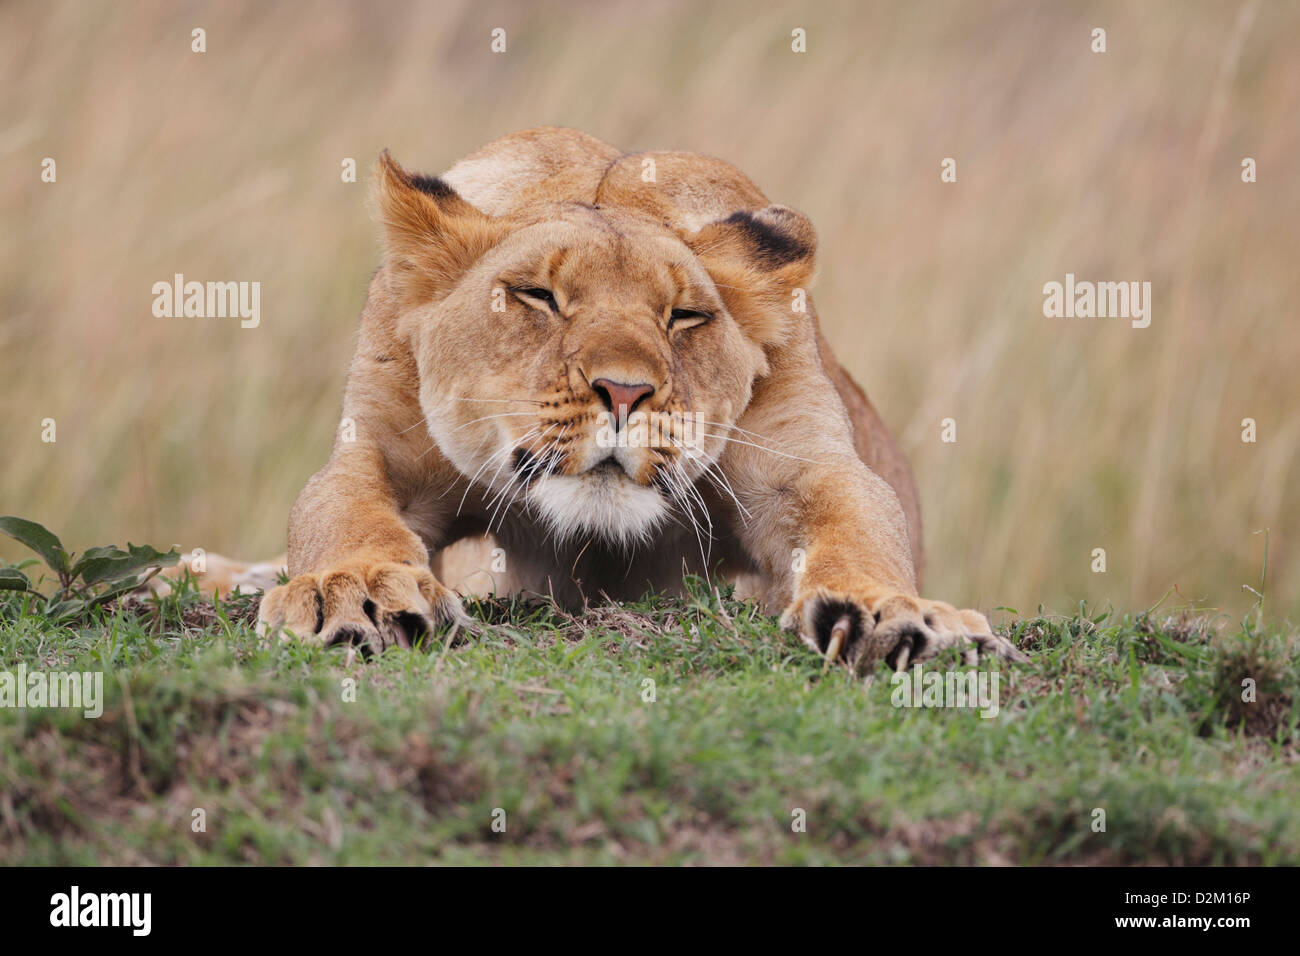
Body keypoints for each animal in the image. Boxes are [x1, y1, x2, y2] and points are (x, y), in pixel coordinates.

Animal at [252, 127, 1026, 672]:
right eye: (538, 295)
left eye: (684, 316)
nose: (624, 391)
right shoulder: (380, 449)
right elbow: (338, 510)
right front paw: (354, 590)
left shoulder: (801, 466)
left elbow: (860, 526)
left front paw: (891, 614)